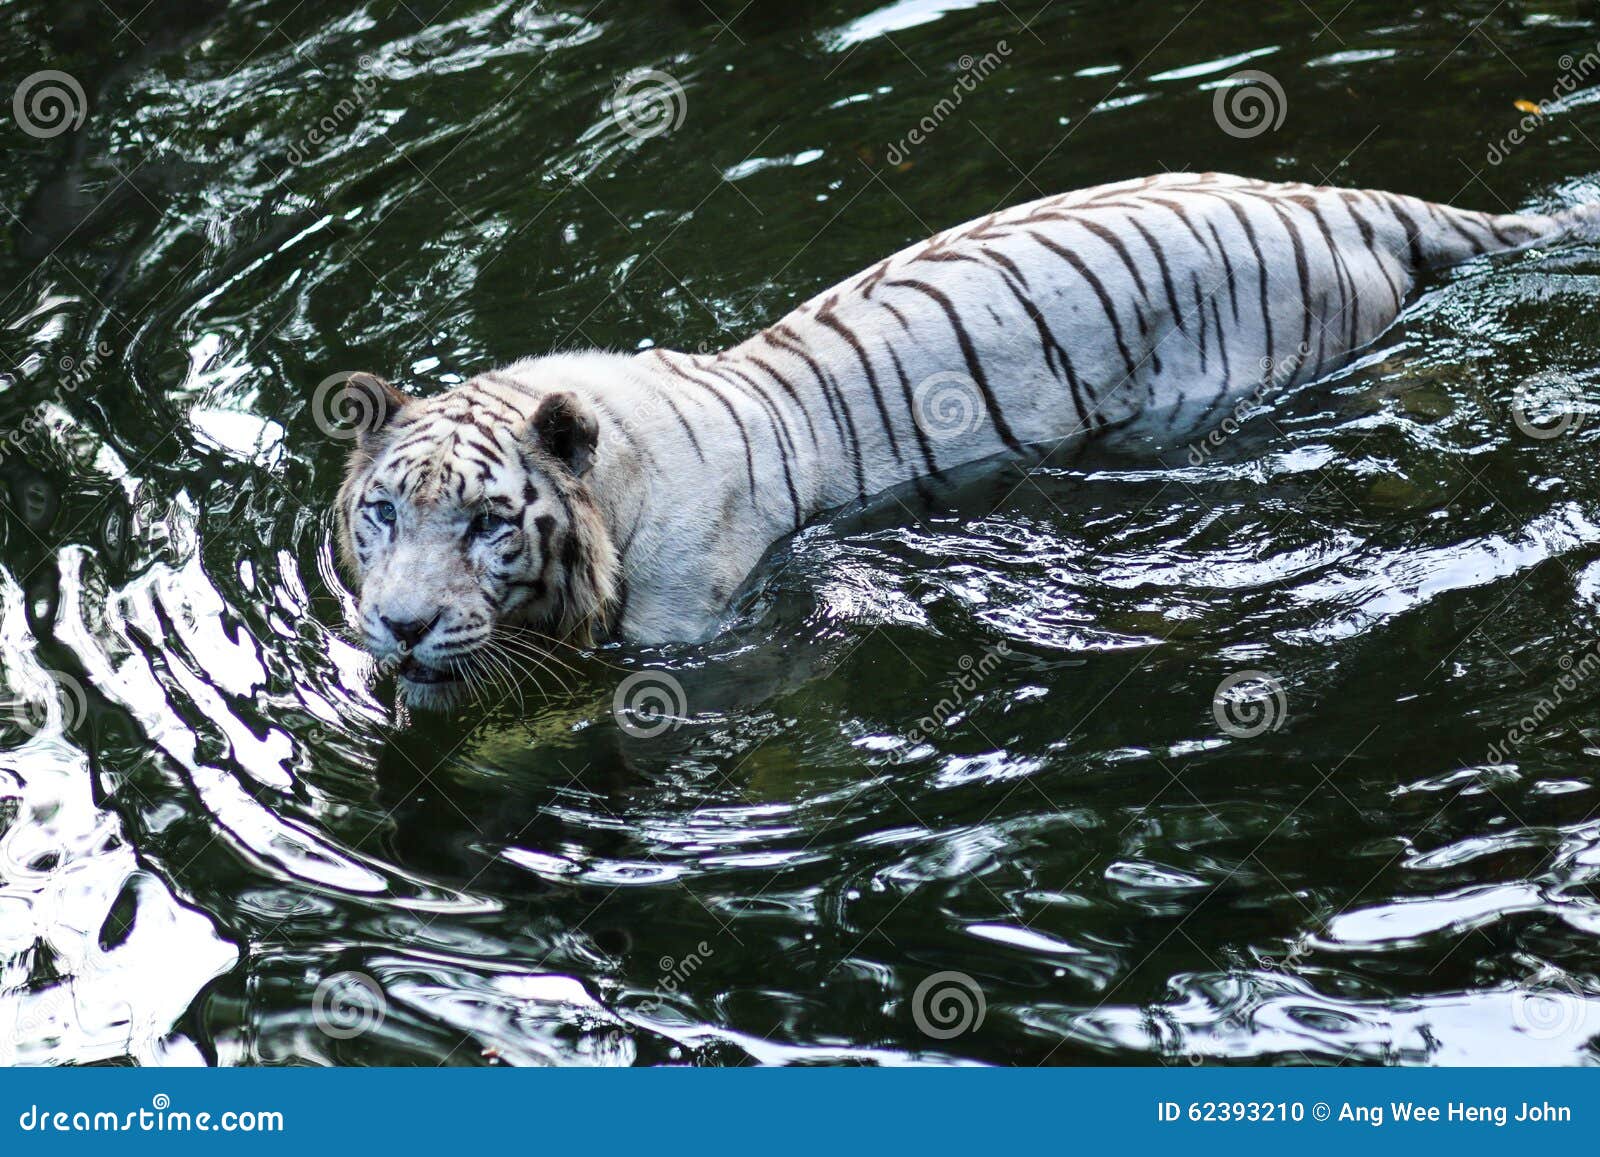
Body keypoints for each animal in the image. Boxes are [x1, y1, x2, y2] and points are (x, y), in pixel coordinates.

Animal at [334, 171, 1599, 708]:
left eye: (489, 524)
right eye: (381, 513)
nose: (396, 627)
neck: (616, 504)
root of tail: (1331, 197)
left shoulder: (708, 647)